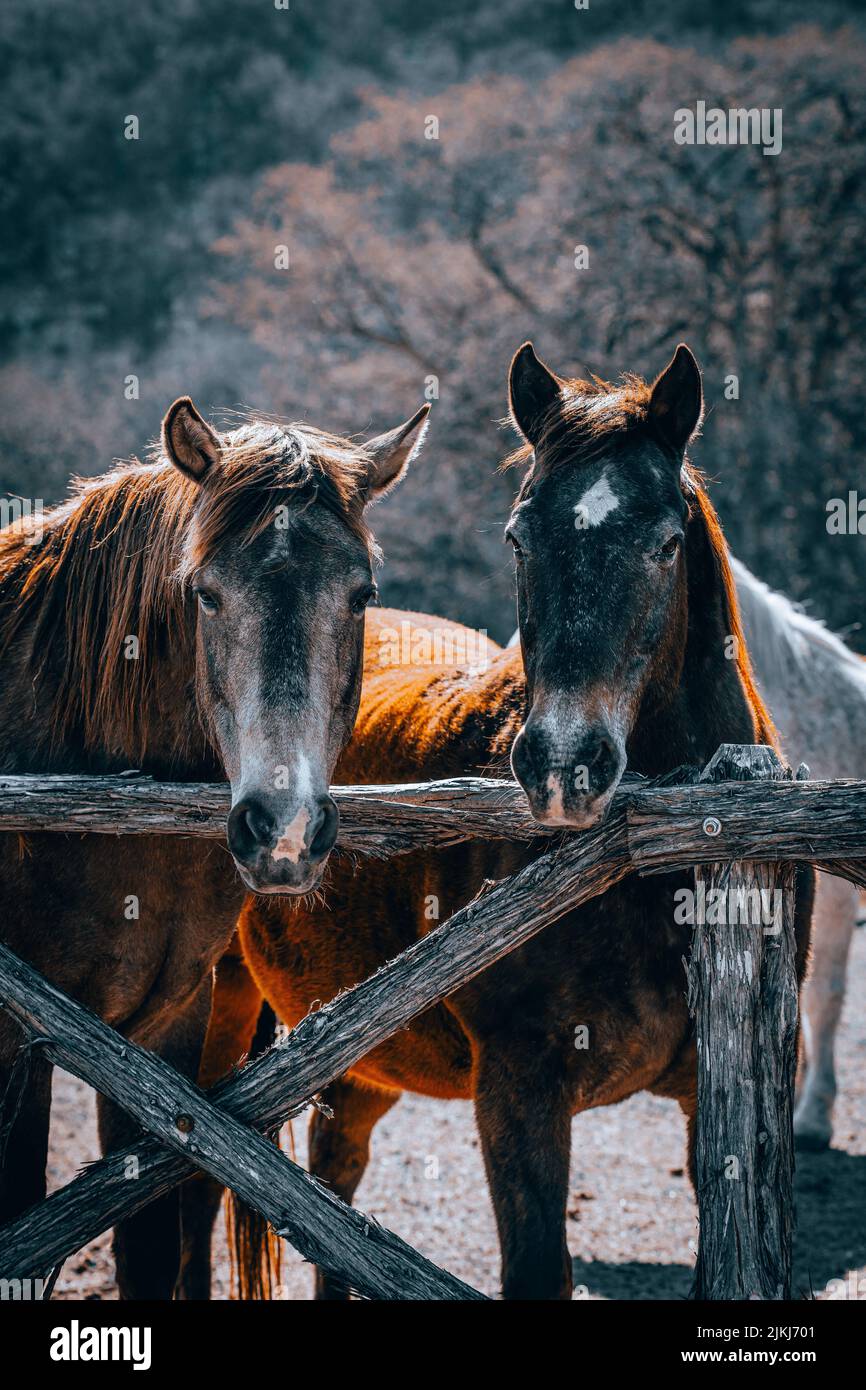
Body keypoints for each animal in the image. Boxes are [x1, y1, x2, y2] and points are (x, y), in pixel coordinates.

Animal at [0, 393, 429, 1299]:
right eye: (205, 594)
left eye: (362, 594)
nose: (284, 830)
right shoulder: (16, 1036)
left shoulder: (164, 1030)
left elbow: (152, 1242)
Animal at [190, 343, 814, 1300]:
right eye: (521, 537)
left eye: (667, 543)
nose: (562, 764)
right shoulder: (520, 1091)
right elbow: (535, 1268)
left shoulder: (718, 1090)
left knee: (334, 1179)